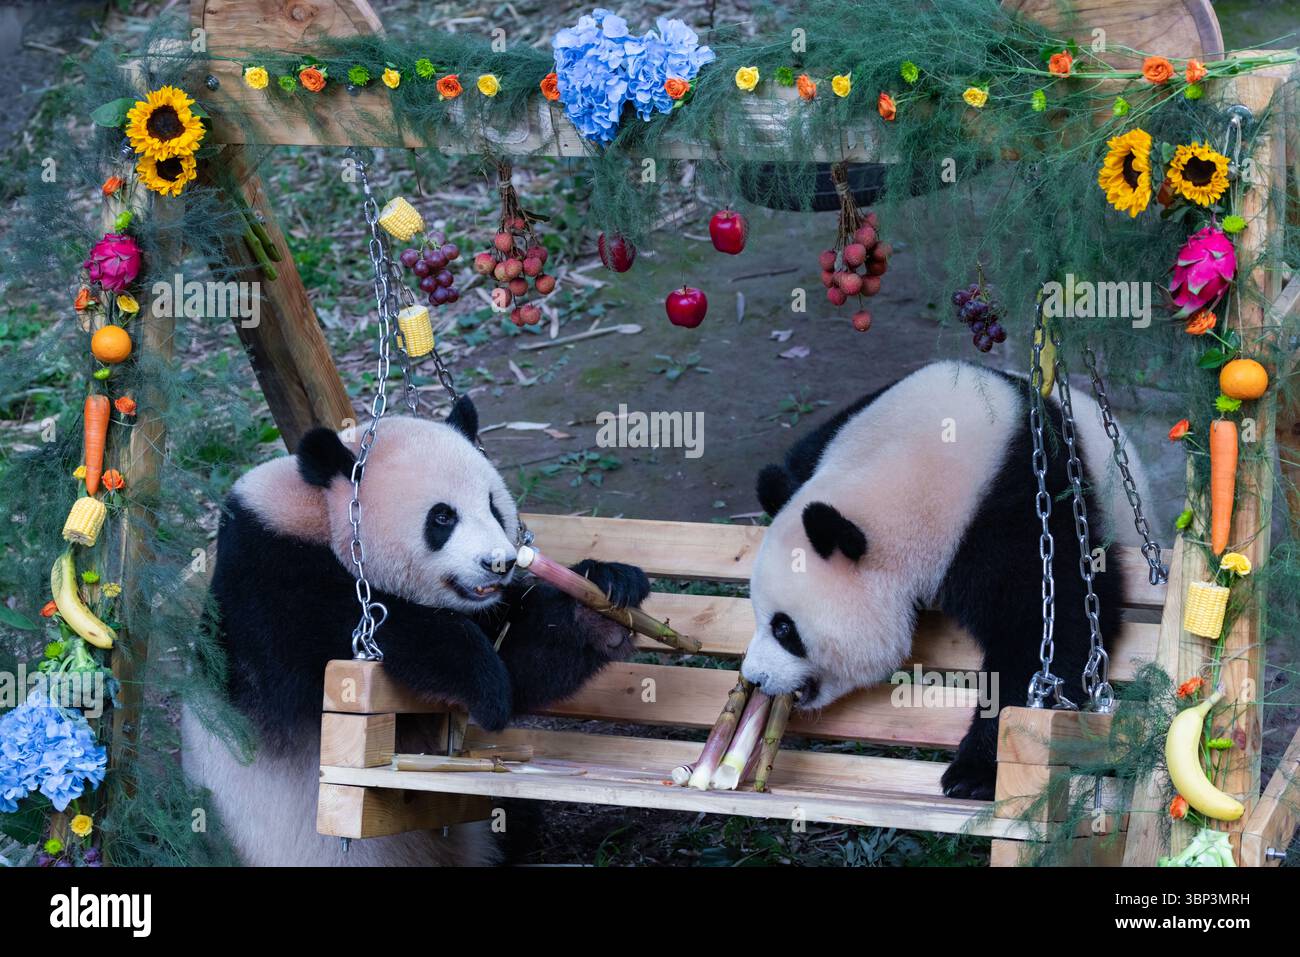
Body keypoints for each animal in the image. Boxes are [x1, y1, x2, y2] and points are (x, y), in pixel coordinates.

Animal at [182, 396, 650, 866]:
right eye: (442, 517)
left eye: (494, 506)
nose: (499, 563)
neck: (319, 512)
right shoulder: (267, 584)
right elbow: (364, 638)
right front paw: (485, 683)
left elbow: (521, 658)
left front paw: (603, 598)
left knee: (511, 818)